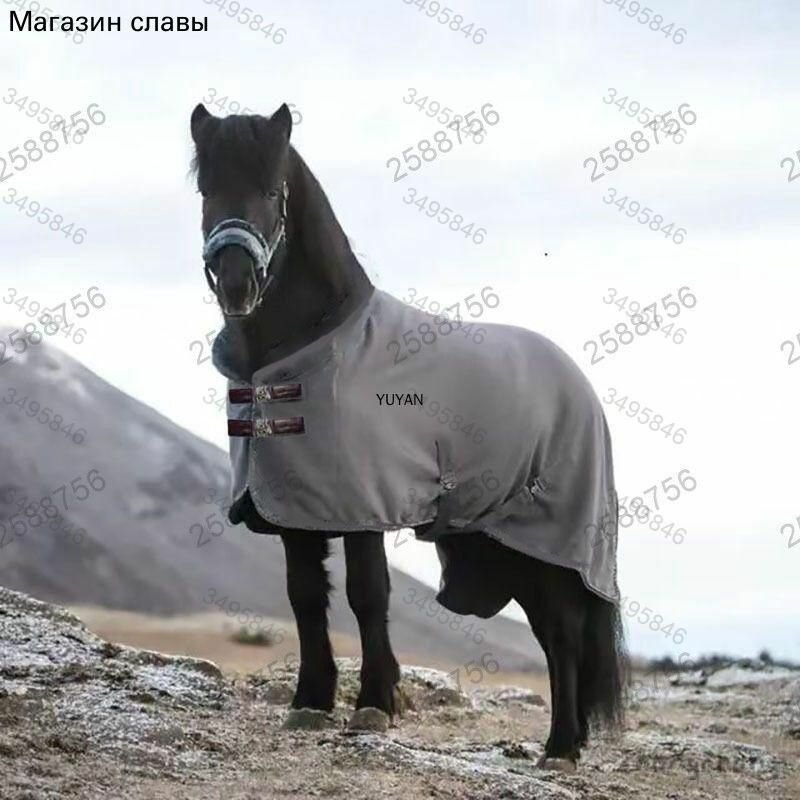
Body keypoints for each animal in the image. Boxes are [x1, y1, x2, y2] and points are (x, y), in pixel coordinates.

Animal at [189, 101, 628, 770]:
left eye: (271, 191)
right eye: (206, 189)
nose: (236, 281)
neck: (308, 349)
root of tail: (579, 386)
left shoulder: (364, 505)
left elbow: (367, 594)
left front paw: (374, 703)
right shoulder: (295, 510)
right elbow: (304, 596)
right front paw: (310, 702)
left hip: (551, 540)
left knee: (562, 631)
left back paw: (559, 748)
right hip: (512, 546)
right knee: (558, 636)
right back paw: (569, 740)